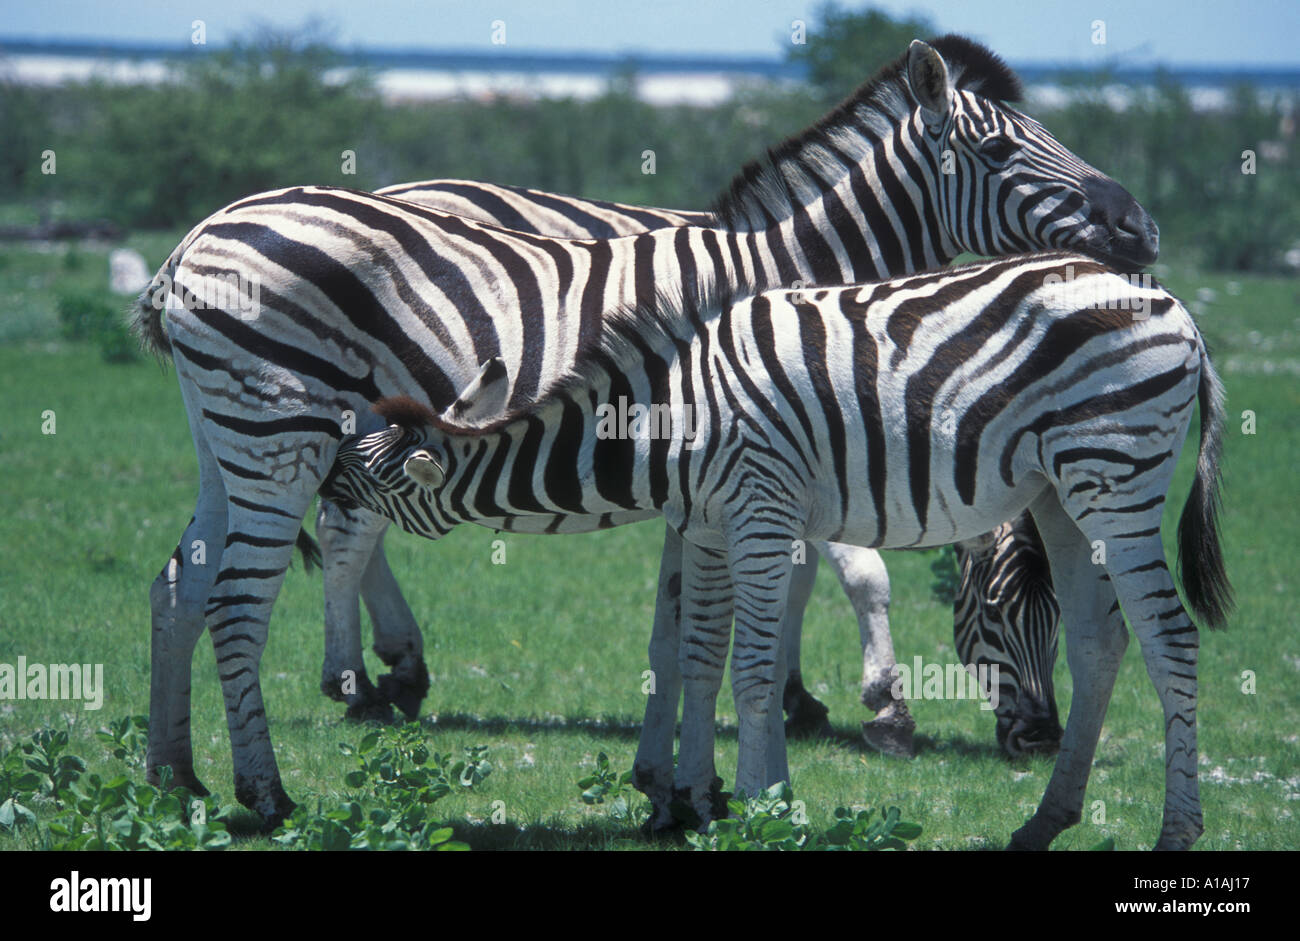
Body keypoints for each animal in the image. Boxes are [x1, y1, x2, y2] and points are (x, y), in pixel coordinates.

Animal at [136, 36, 1160, 825]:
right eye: (999, 152)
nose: (1141, 228)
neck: (792, 279)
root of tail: (196, 239)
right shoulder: (770, 454)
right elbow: (801, 593)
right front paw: (855, 724)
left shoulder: (707, 478)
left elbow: (681, 632)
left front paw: (669, 783)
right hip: (279, 432)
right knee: (245, 594)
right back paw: (276, 784)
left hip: (226, 440)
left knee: (182, 581)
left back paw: (177, 776)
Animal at [324, 251, 1231, 849]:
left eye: (362, 474)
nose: (321, 495)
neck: (666, 421)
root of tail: (1172, 305)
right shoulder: (708, 527)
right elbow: (699, 658)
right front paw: (699, 799)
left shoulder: (759, 514)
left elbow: (752, 672)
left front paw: (766, 804)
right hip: (1059, 494)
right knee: (1101, 639)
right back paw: (1044, 820)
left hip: (1114, 477)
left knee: (1172, 638)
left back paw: (1176, 832)